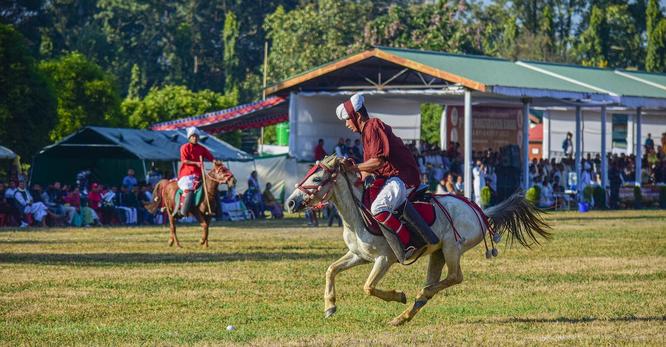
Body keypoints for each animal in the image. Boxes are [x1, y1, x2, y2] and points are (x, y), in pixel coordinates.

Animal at [286, 156, 548, 328]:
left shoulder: (384, 259)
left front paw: (398, 295)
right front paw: (330, 306)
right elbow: (331, 270)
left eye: (317, 178)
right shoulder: (359, 256)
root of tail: (480, 212)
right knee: (437, 281)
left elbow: (368, 287)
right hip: (438, 253)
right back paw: (404, 316)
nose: (290, 202)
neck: (357, 216)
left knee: (455, 277)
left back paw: (419, 295)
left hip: (452, 248)